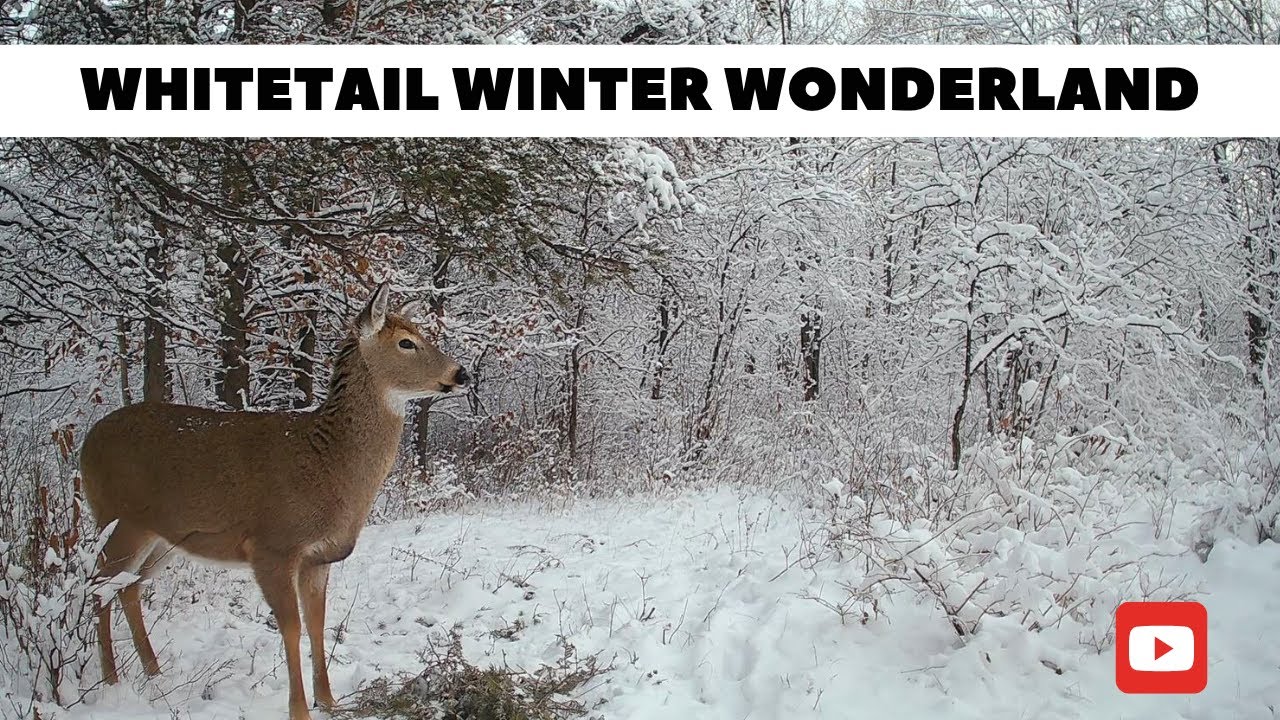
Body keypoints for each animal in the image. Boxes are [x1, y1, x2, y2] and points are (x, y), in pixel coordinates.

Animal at [79, 283, 468, 720]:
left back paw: (153, 673)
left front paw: (329, 700)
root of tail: (84, 444)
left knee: (128, 588)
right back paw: (111, 681)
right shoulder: (272, 546)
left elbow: (317, 623)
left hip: (165, 539)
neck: (328, 466)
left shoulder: (318, 557)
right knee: (97, 587)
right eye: (406, 342)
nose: (461, 373)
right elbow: (291, 627)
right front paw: (299, 709)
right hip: (117, 519)